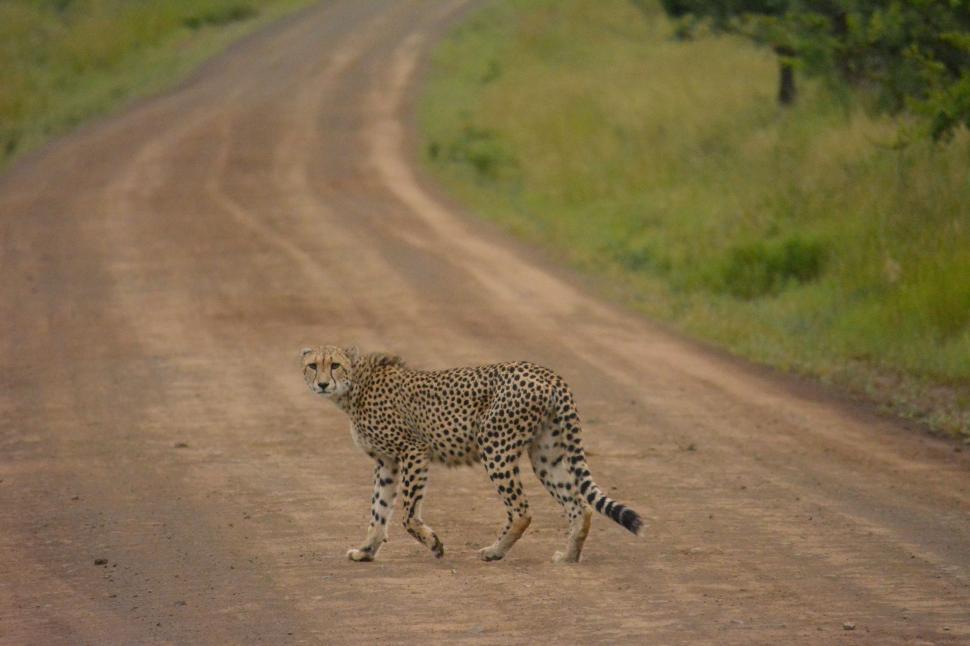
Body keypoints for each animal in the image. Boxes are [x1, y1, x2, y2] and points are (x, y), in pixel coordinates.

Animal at [301, 345, 644, 563]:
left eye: (334, 364)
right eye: (312, 365)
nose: (322, 383)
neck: (355, 386)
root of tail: (548, 373)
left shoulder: (413, 451)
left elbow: (408, 515)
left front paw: (435, 544)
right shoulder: (387, 463)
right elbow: (378, 510)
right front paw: (366, 551)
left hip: (495, 445)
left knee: (522, 510)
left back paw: (495, 551)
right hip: (547, 454)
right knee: (579, 506)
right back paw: (569, 556)